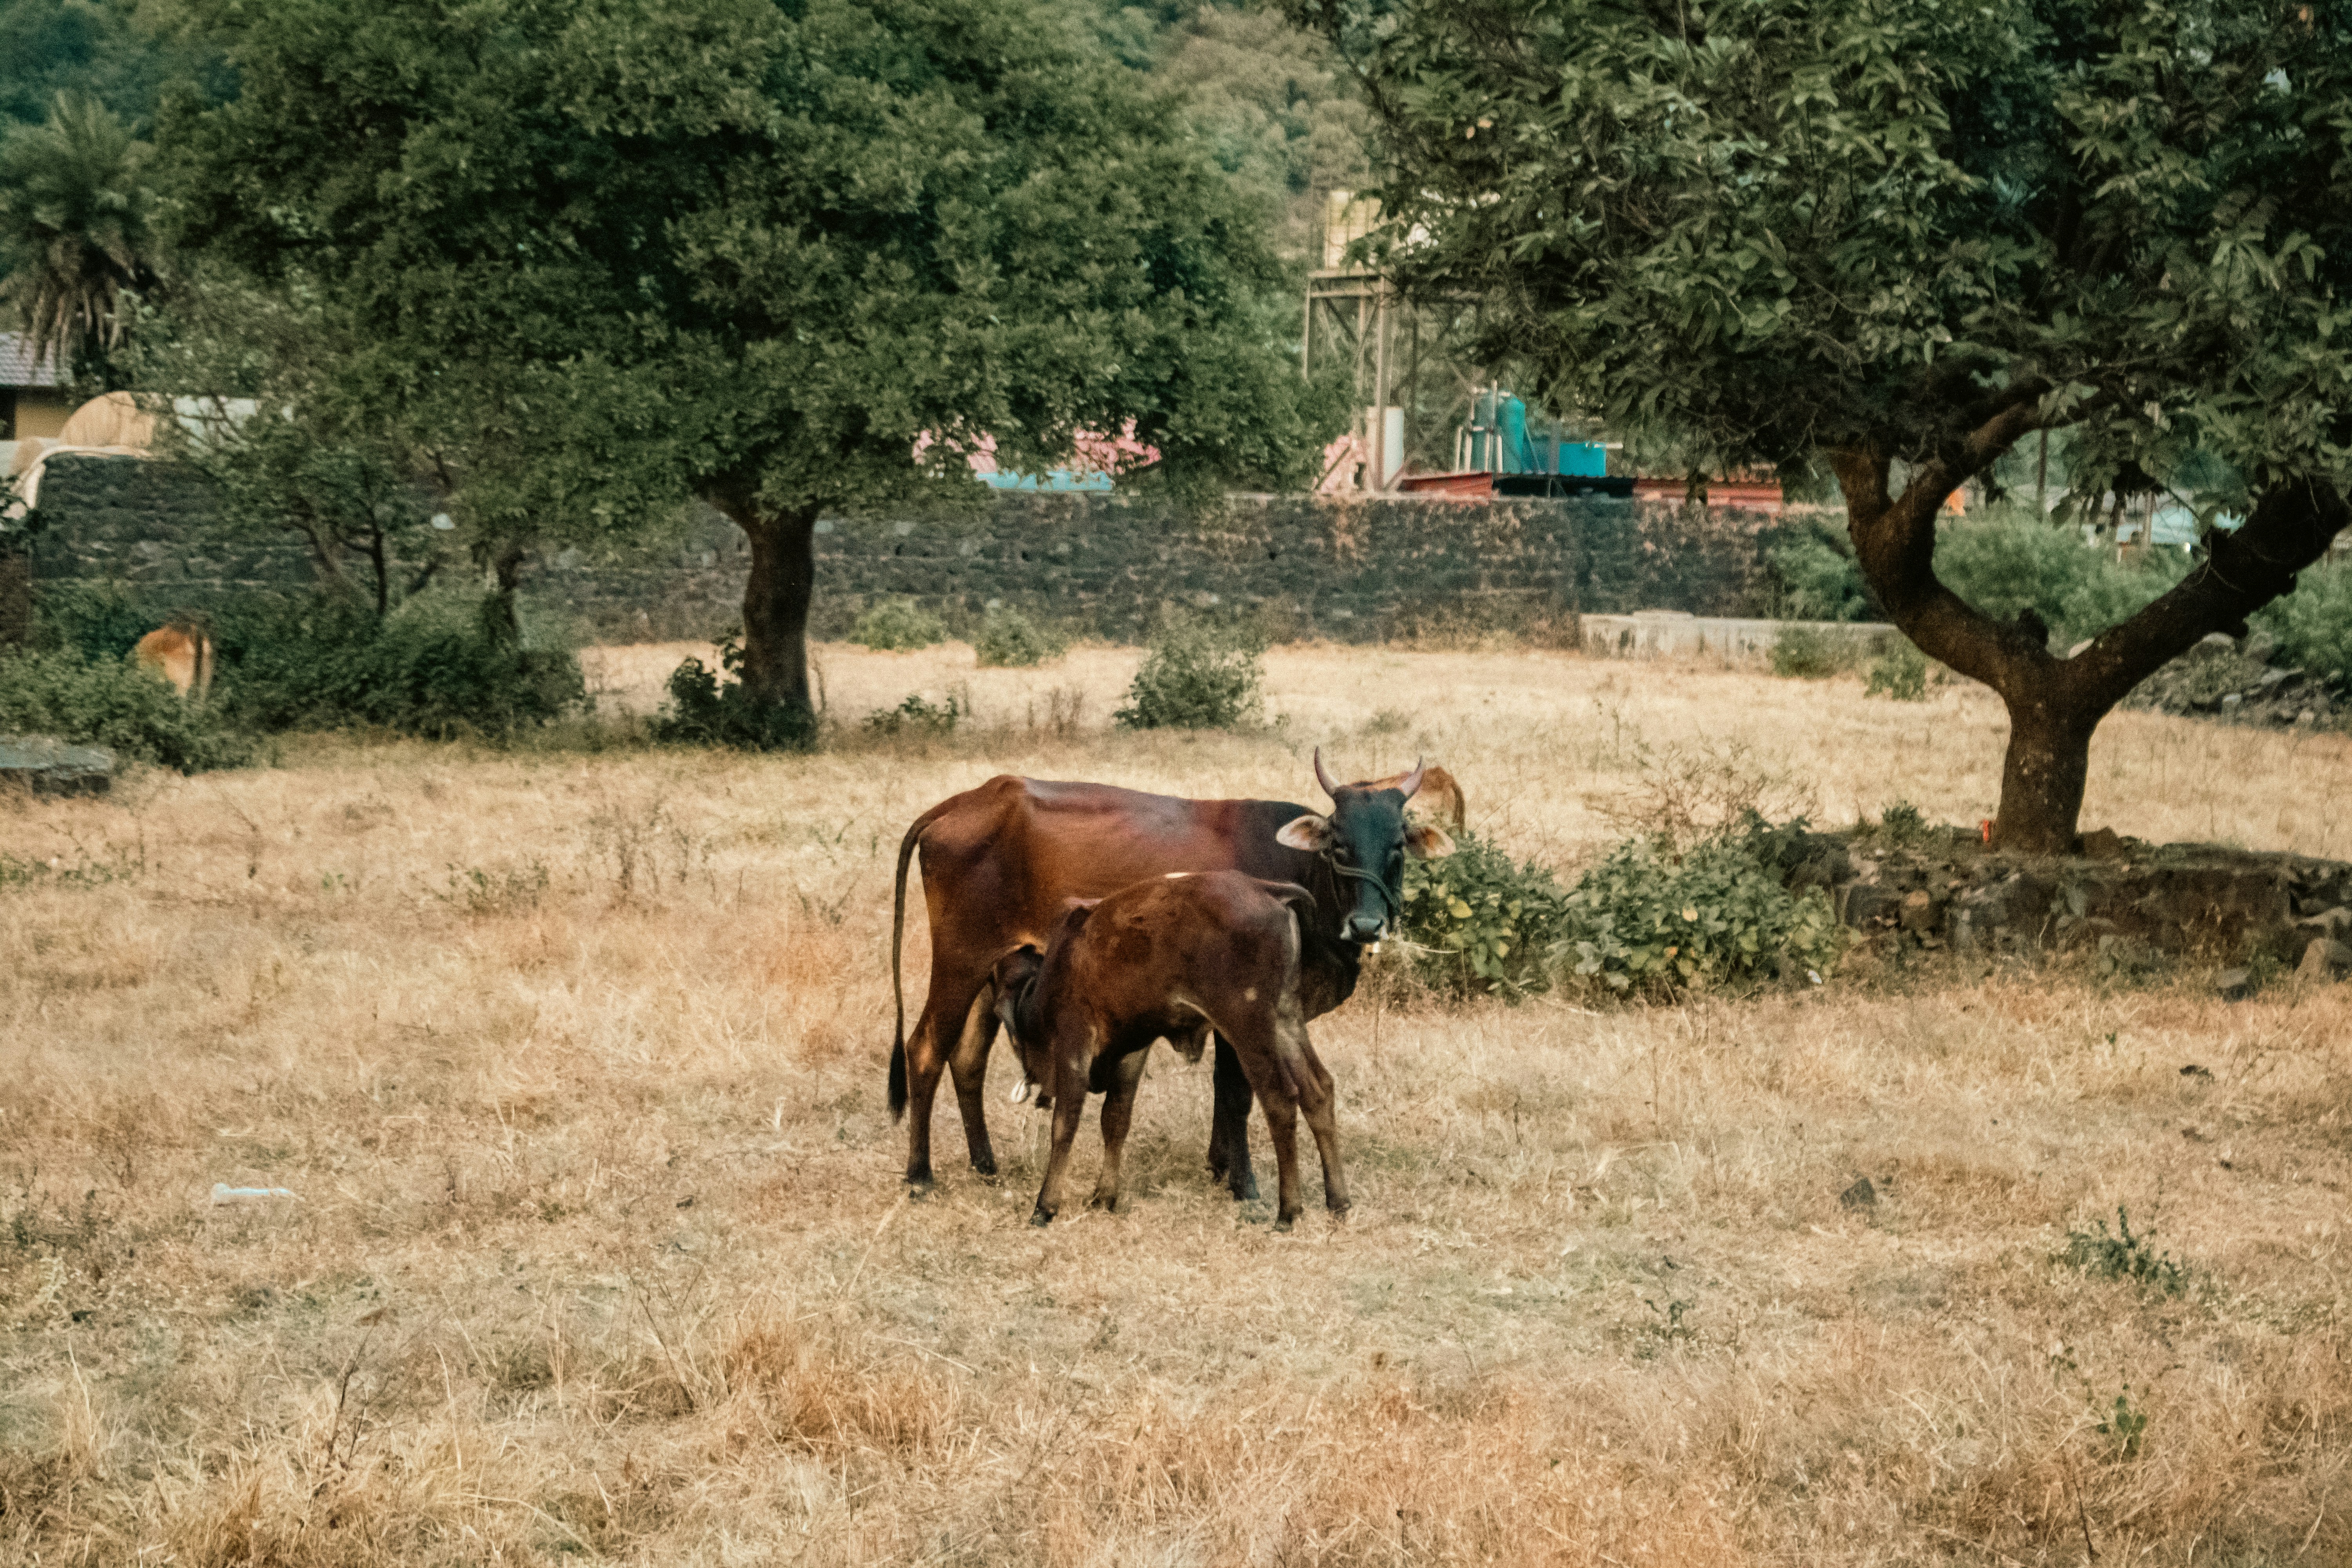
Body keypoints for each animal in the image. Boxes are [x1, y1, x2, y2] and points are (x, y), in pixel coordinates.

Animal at [989, 872, 1349, 1229]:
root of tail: (1268, 890)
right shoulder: (1133, 1049)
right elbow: (1115, 1119)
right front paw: (1105, 1196)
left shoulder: (1074, 1042)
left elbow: (1065, 1125)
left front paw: (1045, 1206)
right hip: (1285, 1020)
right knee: (1318, 1091)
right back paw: (1338, 1202)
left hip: (1248, 1025)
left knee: (1281, 1099)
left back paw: (1288, 1211)